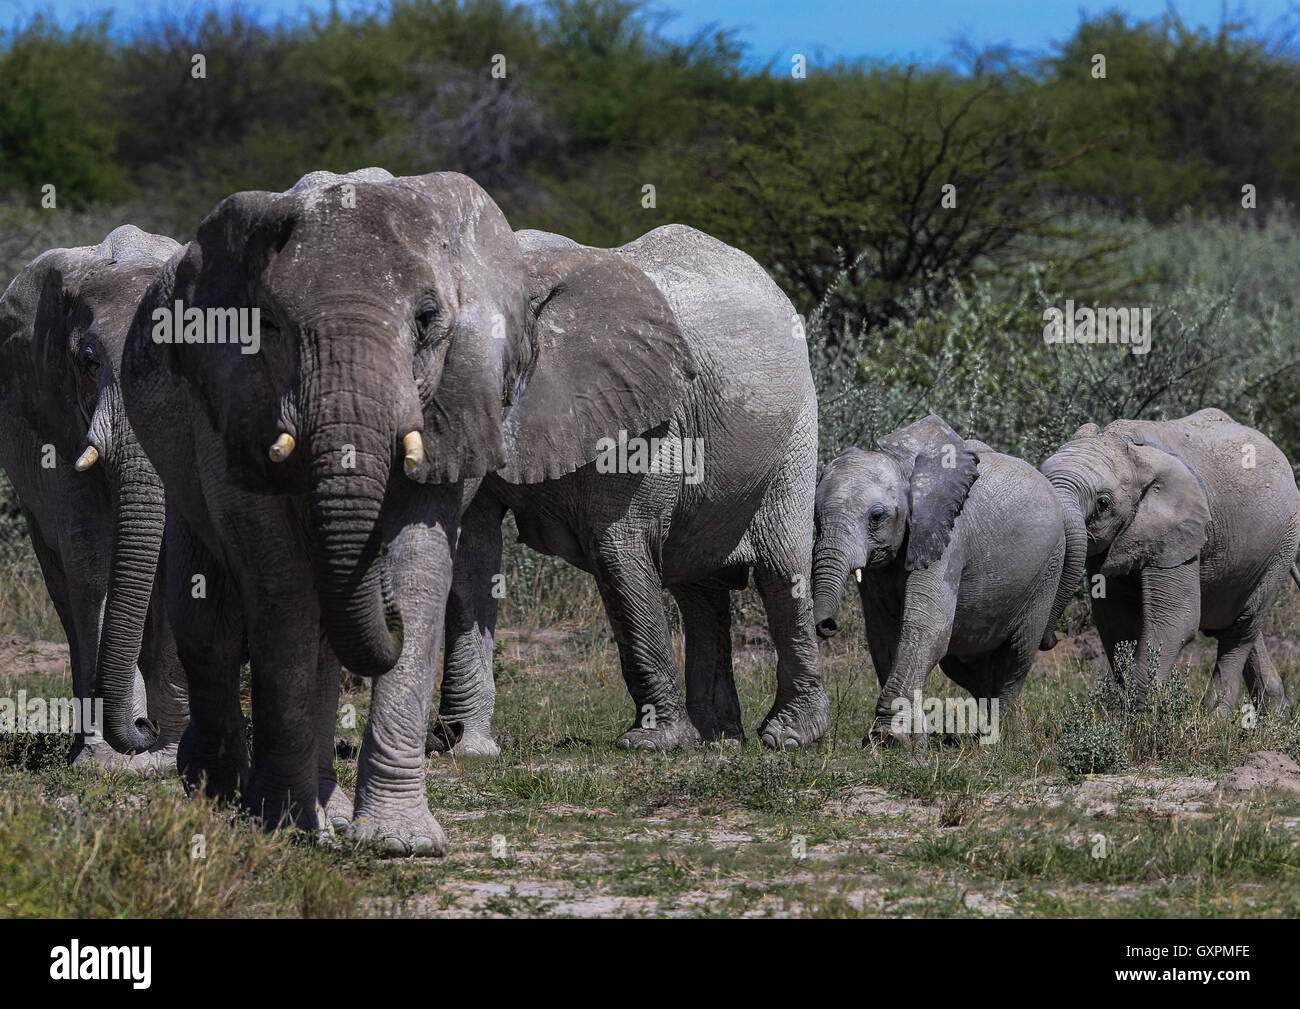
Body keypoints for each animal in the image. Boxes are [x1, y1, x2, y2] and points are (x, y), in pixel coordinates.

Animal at [0, 225, 190, 771]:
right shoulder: (58, 414)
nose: (144, 729)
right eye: (88, 362)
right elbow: (89, 556)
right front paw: (103, 763)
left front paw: (169, 759)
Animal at [115, 169, 703, 854]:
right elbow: (280, 582)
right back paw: (223, 796)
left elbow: (423, 566)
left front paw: (398, 841)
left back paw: (327, 811)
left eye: (427, 319)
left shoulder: (460, 393)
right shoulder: (233, 403)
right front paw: (282, 827)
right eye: (271, 326)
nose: (383, 604)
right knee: (211, 618)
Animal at [434, 226, 830, 755]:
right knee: (699, 591)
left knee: (780, 570)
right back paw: (715, 739)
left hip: (794, 431)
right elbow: (472, 553)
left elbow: (617, 546)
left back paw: (787, 736)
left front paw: (650, 744)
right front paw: (465, 749)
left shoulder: (640, 422)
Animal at [811, 415, 1075, 744]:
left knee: (1018, 653)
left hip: (1048, 567)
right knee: (963, 665)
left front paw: (887, 739)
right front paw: (913, 740)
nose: (827, 625)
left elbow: (926, 627)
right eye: (815, 518)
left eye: (876, 516)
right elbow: (884, 634)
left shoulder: (949, 535)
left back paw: (992, 738)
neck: (905, 468)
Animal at [1040, 408, 1299, 716]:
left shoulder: (1180, 531)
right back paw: (1277, 713)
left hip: (1283, 545)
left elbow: (1175, 620)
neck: (1129, 449)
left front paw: (1140, 721)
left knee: (1243, 627)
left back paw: (1215, 719)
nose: (1051, 640)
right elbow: (1114, 620)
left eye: (1102, 503)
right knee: (1238, 623)